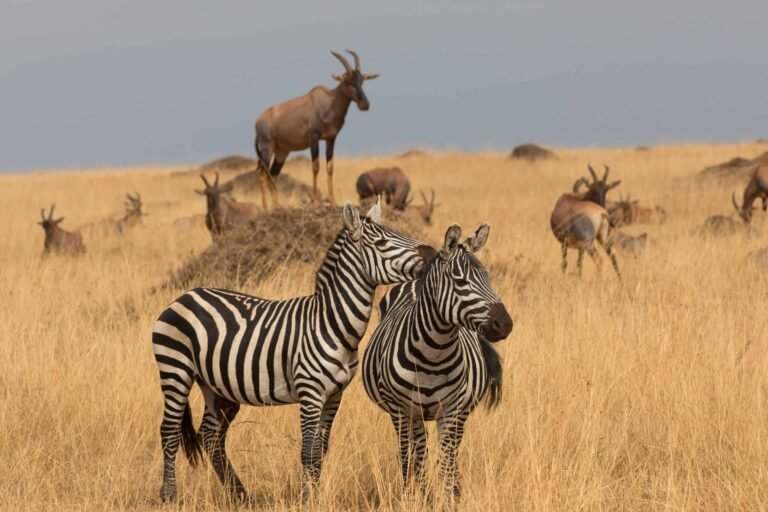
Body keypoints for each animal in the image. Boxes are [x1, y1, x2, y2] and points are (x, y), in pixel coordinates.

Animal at [152, 199, 436, 503]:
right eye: (382, 242)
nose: (431, 254)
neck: (332, 324)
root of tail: (185, 296)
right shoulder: (310, 393)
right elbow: (308, 452)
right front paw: (306, 498)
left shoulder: (334, 395)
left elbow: (321, 450)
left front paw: (317, 496)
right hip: (175, 369)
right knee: (169, 431)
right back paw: (169, 495)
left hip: (215, 385)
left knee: (210, 435)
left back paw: (240, 495)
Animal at [362, 223, 513, 500]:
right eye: (460, 281)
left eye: (488, 277)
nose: (505, 324)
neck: (433, 355)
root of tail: (412, 281)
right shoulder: (402, 410)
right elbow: (408, 458)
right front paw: (411, 498)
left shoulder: (451, 411)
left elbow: (447, 462)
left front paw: (451, 498)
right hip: (411, 414)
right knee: (417, 451)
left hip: (456, 413)